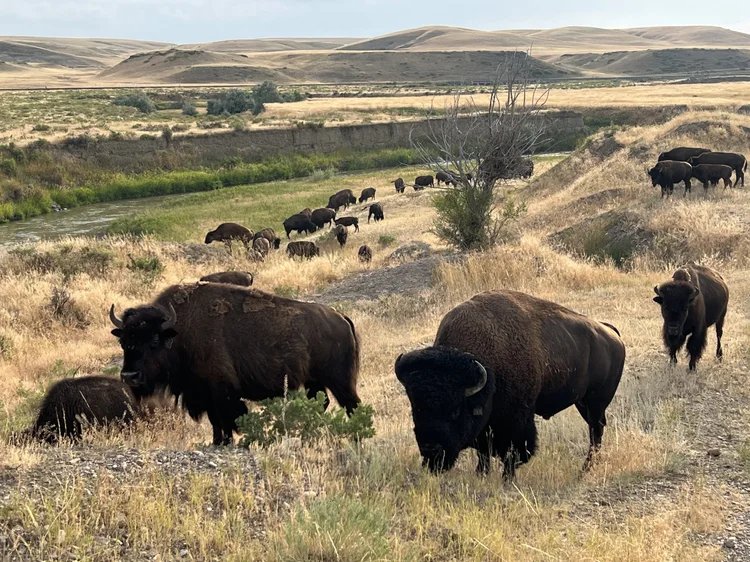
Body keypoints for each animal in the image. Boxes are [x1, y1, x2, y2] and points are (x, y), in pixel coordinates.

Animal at [109, 283, 360, 445]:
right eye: (123, 341)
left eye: (154, 341)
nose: (129, 376)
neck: (179, 332)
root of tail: (341, 318)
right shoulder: (204, 392)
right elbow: (216, 421)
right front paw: (216, 442)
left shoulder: (221, 390)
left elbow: (226, 418)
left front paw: (227, 442)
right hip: (314, 381)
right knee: (323, 402)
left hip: (339, 380)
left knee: (351, 404)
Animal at [395, 290, 625, 479]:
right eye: (415, 410)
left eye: (454, 411)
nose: (431, 451)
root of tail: (611, 333)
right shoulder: (487, 425)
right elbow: (484, 451)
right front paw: (481, 474)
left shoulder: (516, 419)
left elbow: (514, 449)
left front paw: (508, 477)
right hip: (582, 402)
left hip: (596, 401)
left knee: (595, 431)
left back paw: (584, 470)